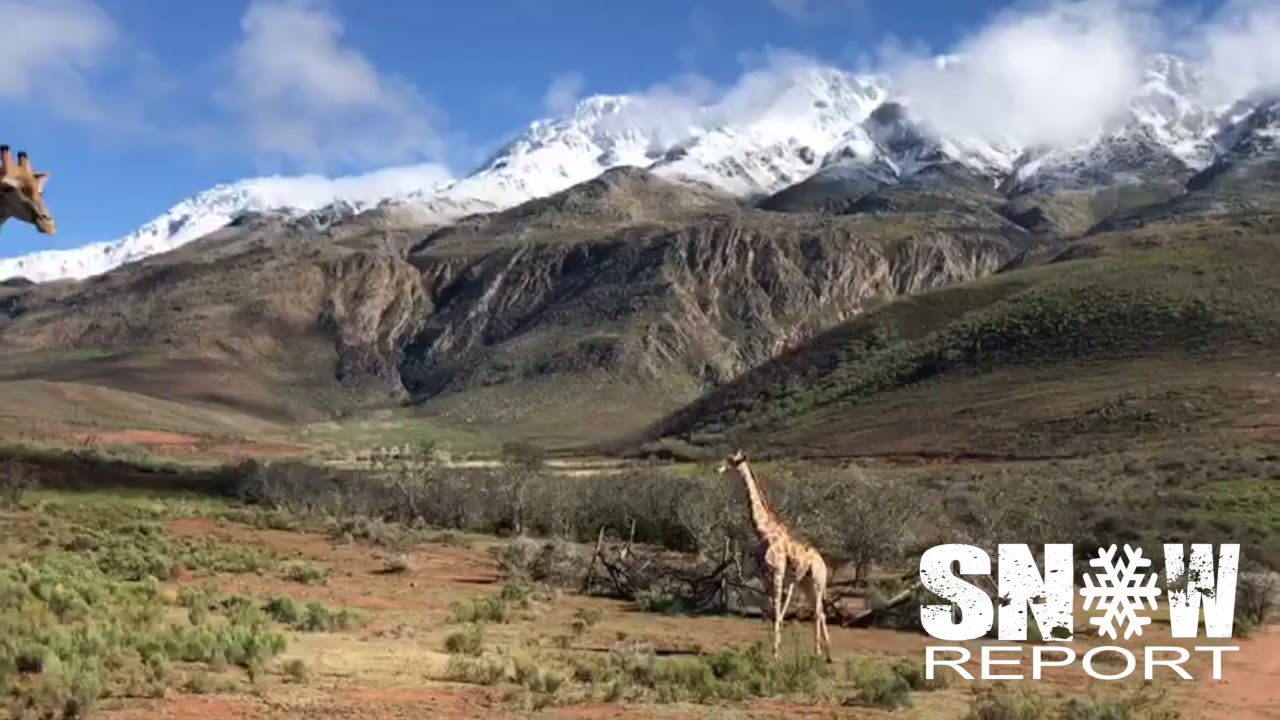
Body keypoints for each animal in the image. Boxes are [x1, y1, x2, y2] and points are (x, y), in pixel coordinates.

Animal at [718, 449, 832, 662]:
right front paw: (773, 650)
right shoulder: (765, 575)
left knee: (819, 611)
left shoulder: (778, 571)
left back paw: (818, 652)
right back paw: (825, 654)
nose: (718, 468)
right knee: (819, 612)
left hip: (818, 582)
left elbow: (777, 610)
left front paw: (775, 654)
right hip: (805, 584)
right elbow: (772, 612)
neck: (765, 533)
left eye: (732, 461)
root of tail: (824, 564)